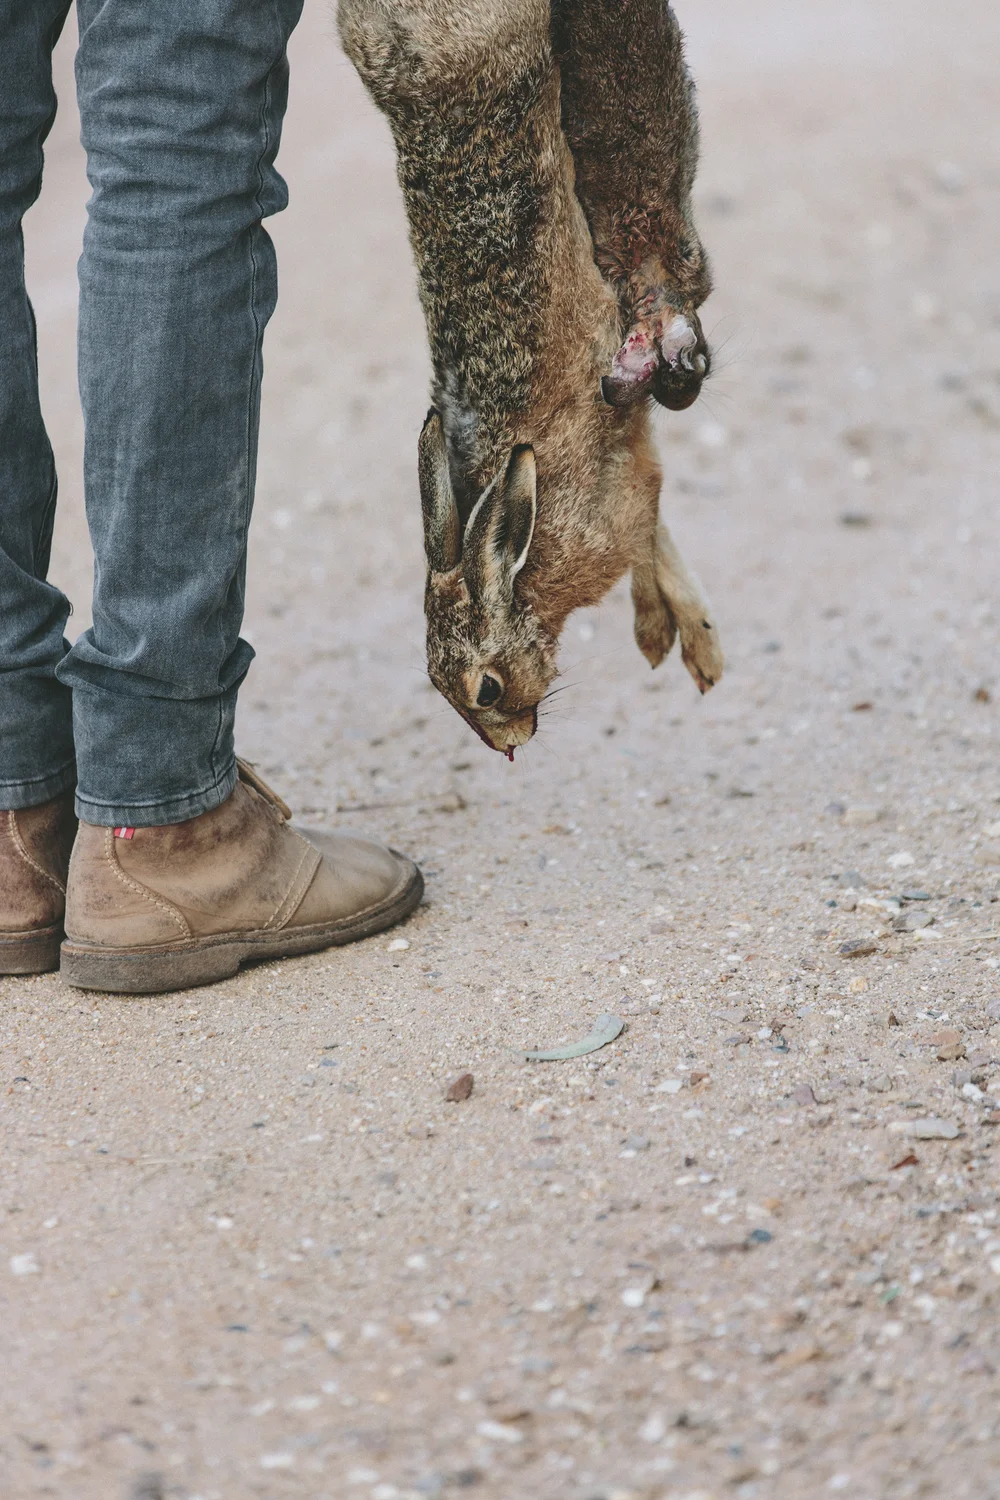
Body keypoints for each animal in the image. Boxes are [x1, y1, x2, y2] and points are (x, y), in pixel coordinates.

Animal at [338, 0, 723, 757]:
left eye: (484, 689)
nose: (507, 747)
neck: (516, 572)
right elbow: (657, 524)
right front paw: (680, 631)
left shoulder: (617, 495)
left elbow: (649, 525)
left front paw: (675, 636)